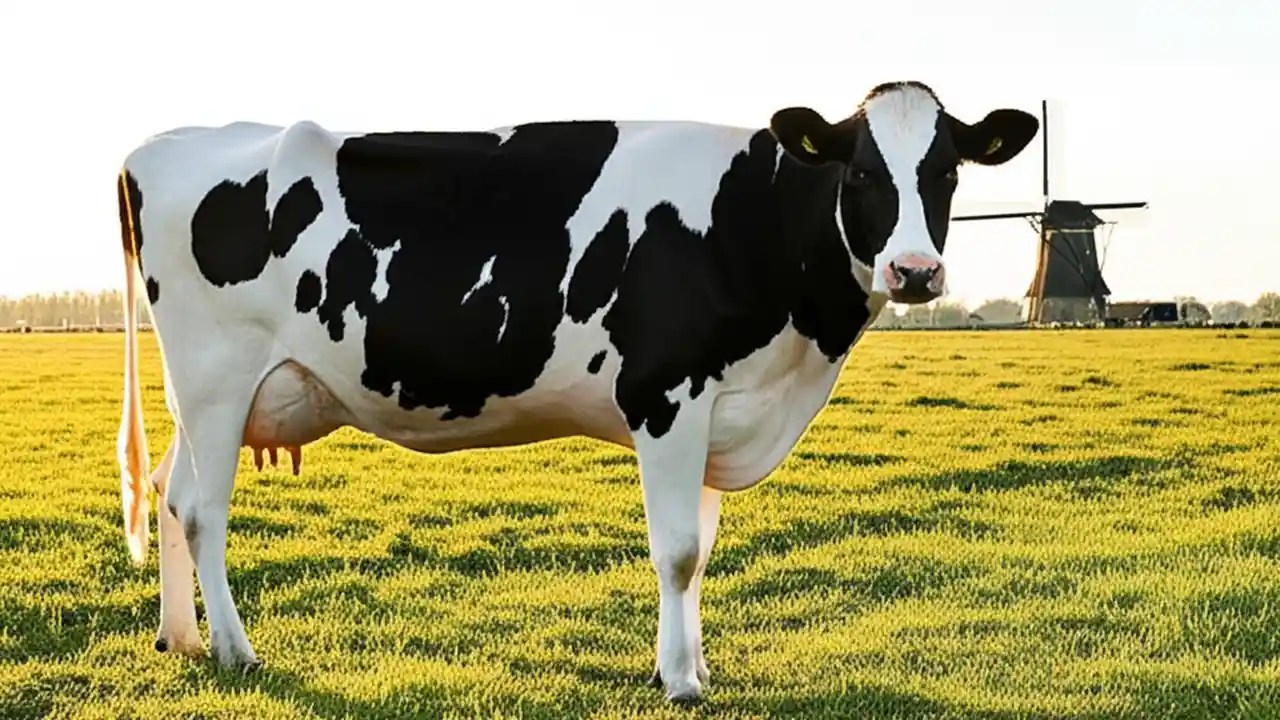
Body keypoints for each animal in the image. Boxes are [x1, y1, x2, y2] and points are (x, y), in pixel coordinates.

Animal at [113, 80, 1037, 702]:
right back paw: (235, 650)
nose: (915, 272)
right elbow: (678, 551)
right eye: (862, 172)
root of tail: (156, 146)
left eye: (948, 172)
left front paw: (695, 662)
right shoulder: (667, 397)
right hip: (216, 377)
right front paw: (679, 682)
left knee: (168, 491)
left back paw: (180, 639)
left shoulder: (721, 410)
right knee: (204, 511)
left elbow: (702, 554)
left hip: (219, 397)